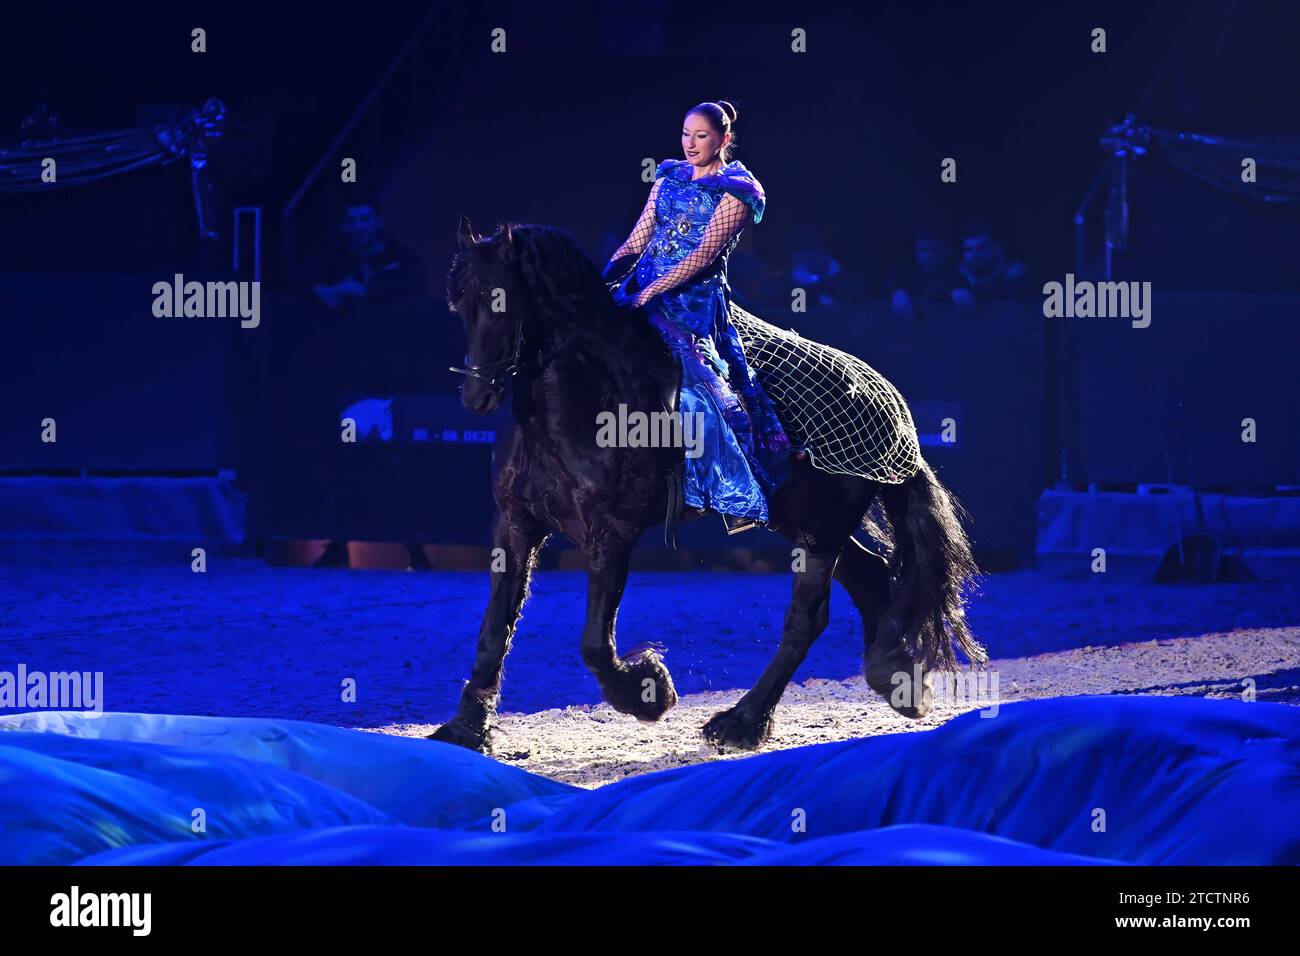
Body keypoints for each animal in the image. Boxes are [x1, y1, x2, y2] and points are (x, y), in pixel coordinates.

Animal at [432, 216, 986, 753]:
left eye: (501, 301)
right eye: (459, 303)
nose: (477, 396)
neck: (576, 398)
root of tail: (892, 408)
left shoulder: (611, 530)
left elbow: (594, 643)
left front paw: (649, 691)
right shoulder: (516, 523)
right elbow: (494, 629)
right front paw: (466, 728)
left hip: (821, 528)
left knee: (807, 617)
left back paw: (742, 721)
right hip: (802, 520)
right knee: (870, 574)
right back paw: (895, 678)